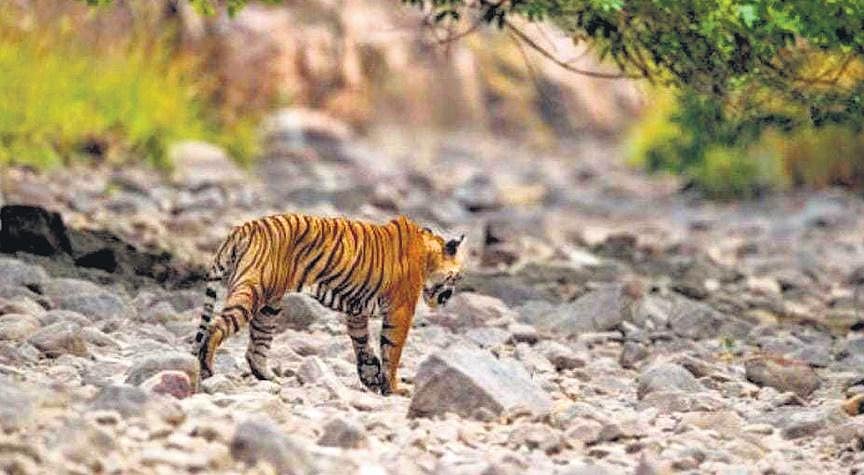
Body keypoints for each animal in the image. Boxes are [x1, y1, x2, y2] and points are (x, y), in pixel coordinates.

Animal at [191, 213, 464, 396]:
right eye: (458, 277)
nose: (449, 297)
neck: (428, 253)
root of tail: (245, 226)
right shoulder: (401, 310)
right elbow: (392, 352)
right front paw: (394, 388)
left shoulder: (357, 311)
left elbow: (364, 347)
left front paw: (372, 379)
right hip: (252, 293)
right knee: (215, 329)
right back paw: (208, 373)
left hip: (269, 305)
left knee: (255, 347)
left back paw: (270, 379)